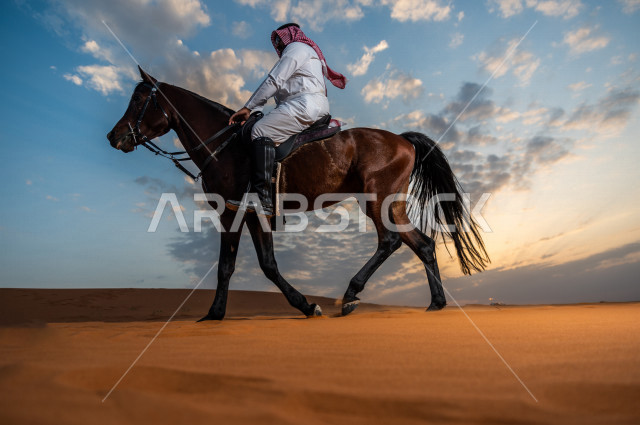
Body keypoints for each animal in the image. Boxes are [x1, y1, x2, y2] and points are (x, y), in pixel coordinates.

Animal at [107, 67, 489, 320]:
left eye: (139, 100)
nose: (114, 136)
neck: (225, 145)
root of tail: (403, 140)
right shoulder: (247, 212)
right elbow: (257, 264)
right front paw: (300, 305)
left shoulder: (237, 211)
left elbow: (237, 265)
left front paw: (218, 313)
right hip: (392, 204)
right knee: (422, 243)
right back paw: (436, 302)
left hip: (377, 200)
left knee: (390, 241)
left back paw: (351, 294)